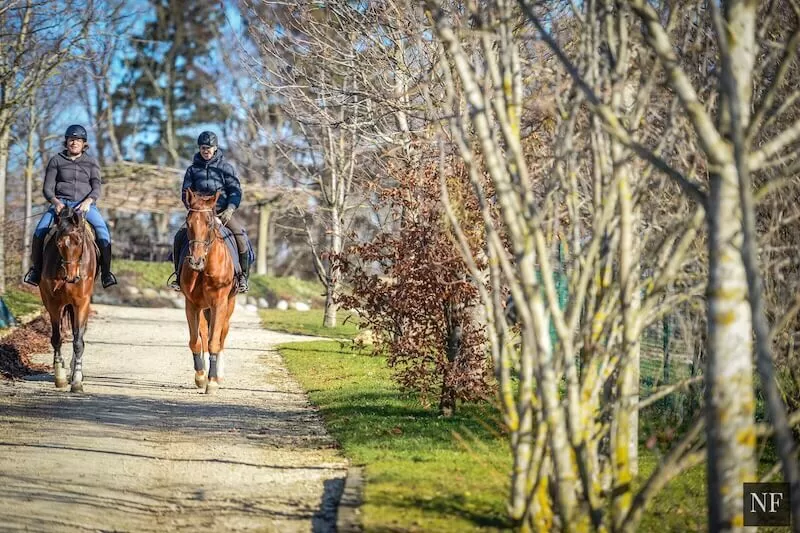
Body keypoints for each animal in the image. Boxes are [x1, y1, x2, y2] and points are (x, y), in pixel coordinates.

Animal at [38, 206, 97, 392]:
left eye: (79, 241)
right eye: (58, 244)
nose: (70, 276)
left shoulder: (82, 303)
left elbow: (78, 340)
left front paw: (77, 379)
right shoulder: (53, 303)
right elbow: (57, 338)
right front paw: (60, 376)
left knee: (79, 335)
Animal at [177, 189, 234, 392]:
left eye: (209, 223)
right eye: (188, 222)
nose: (195, 261)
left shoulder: (219, 305)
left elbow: (214, 341)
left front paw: (212, 381)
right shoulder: (192, 305)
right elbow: (196, 340)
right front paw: (201, 376)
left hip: (228, 306)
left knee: (221, 336)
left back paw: (218, 374)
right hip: (203, 309)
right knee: (204, 334)